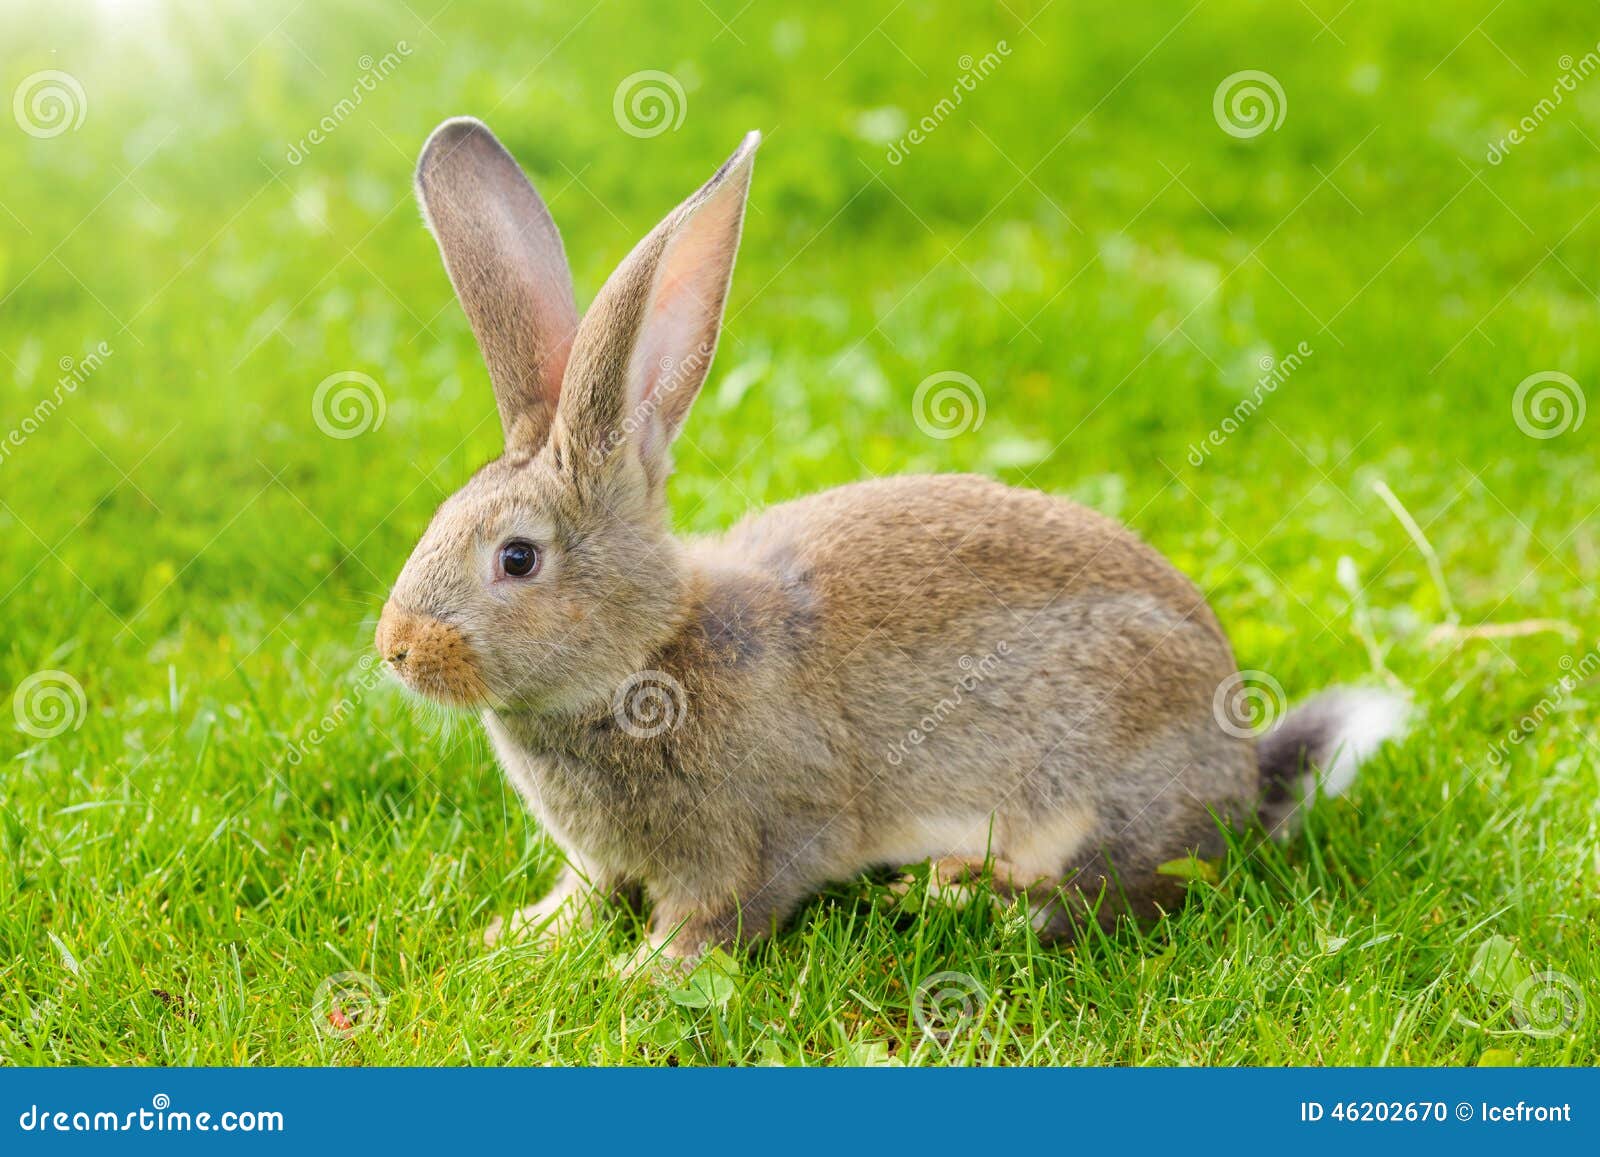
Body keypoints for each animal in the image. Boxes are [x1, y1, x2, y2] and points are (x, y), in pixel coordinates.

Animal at [375, 118, 1410, 965]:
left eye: (517, 558)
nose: (397, 650)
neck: (647, 651)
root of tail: (1241, 774)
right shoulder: (606, 860)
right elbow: (585, 894)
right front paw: (517, 936)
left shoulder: (754, 841)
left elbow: (718, 916)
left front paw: (645, 977)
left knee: (1118, 893)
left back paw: (961, 891)